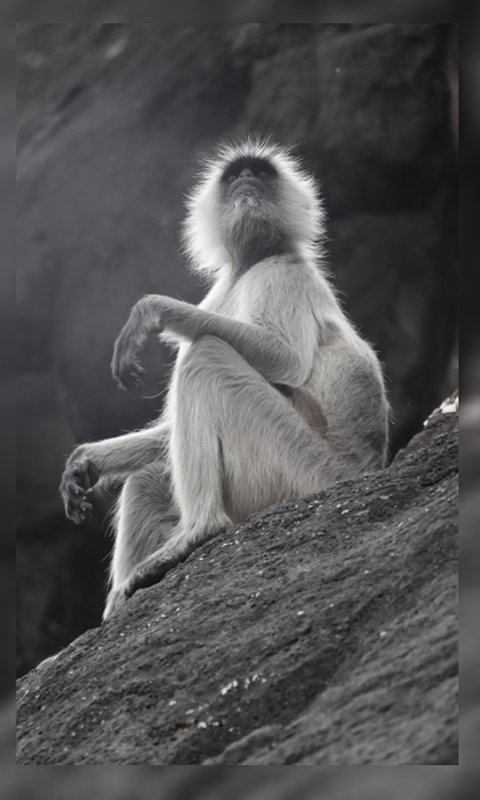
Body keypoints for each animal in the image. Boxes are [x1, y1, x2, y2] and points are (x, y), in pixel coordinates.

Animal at [60, 137, 389, 620]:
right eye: (237, 175)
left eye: (261, 172)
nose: (248, 180)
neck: (251, 263)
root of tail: (363, 467)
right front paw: (88, 461)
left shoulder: (283, 271)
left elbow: (284, 358)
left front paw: (150, 311)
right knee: (150, 473)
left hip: (301, 472)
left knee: (207, 355)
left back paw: (199, 531)